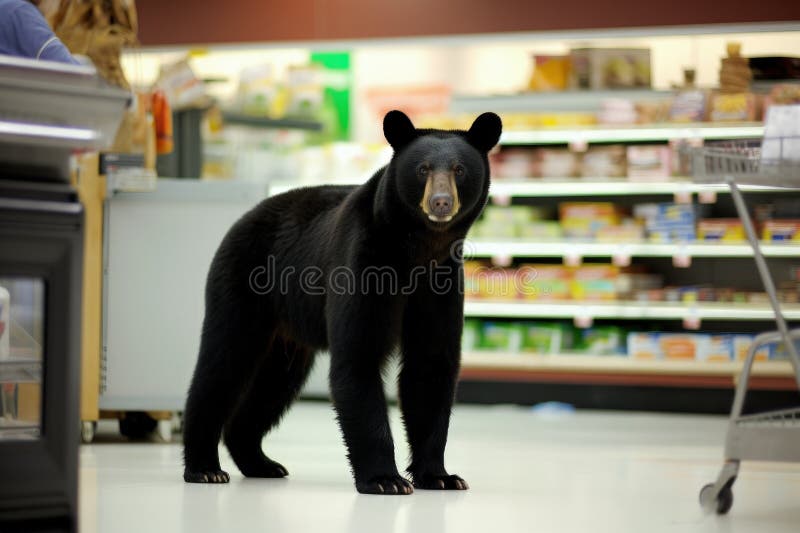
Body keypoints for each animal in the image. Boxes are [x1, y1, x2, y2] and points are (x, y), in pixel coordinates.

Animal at [182, 110, 502, 494]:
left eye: (459, 169)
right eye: (423, 169)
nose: (441, 202)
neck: (417, 251)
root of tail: (243, 218)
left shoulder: (439, 283)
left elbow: (430, 364)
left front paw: (440, 476)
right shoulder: (362, 261)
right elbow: (358, 356)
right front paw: (385, 479)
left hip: (287, 332)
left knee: (274, 384)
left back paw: (261, 462)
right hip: (243, 284)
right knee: (222, 363)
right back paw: (204, 467)